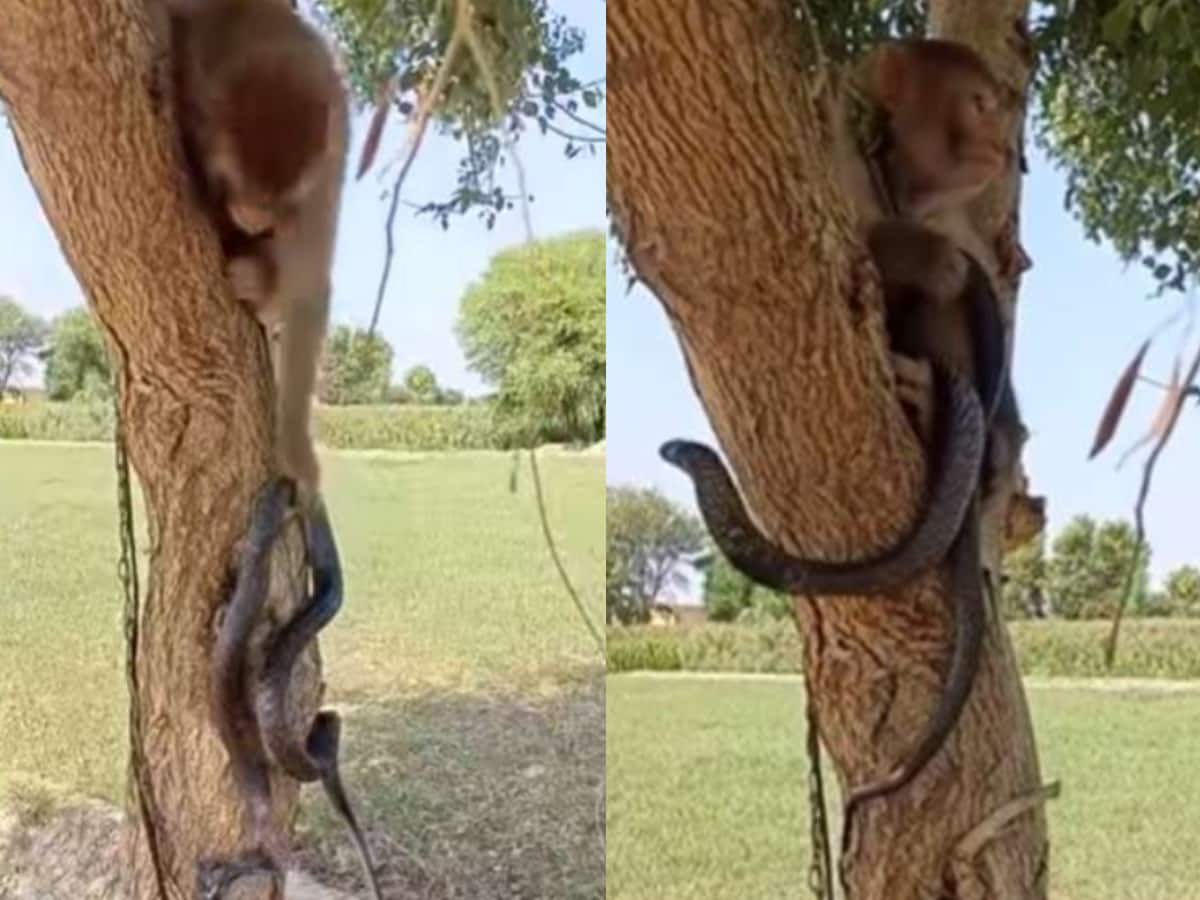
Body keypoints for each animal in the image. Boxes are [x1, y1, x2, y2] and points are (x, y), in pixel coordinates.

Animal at [169, 0, 349, 503]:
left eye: (278, 197)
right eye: (241, 184)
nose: (254, 217)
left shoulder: (331, 162)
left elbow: (309, 284)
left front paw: (295, 447)